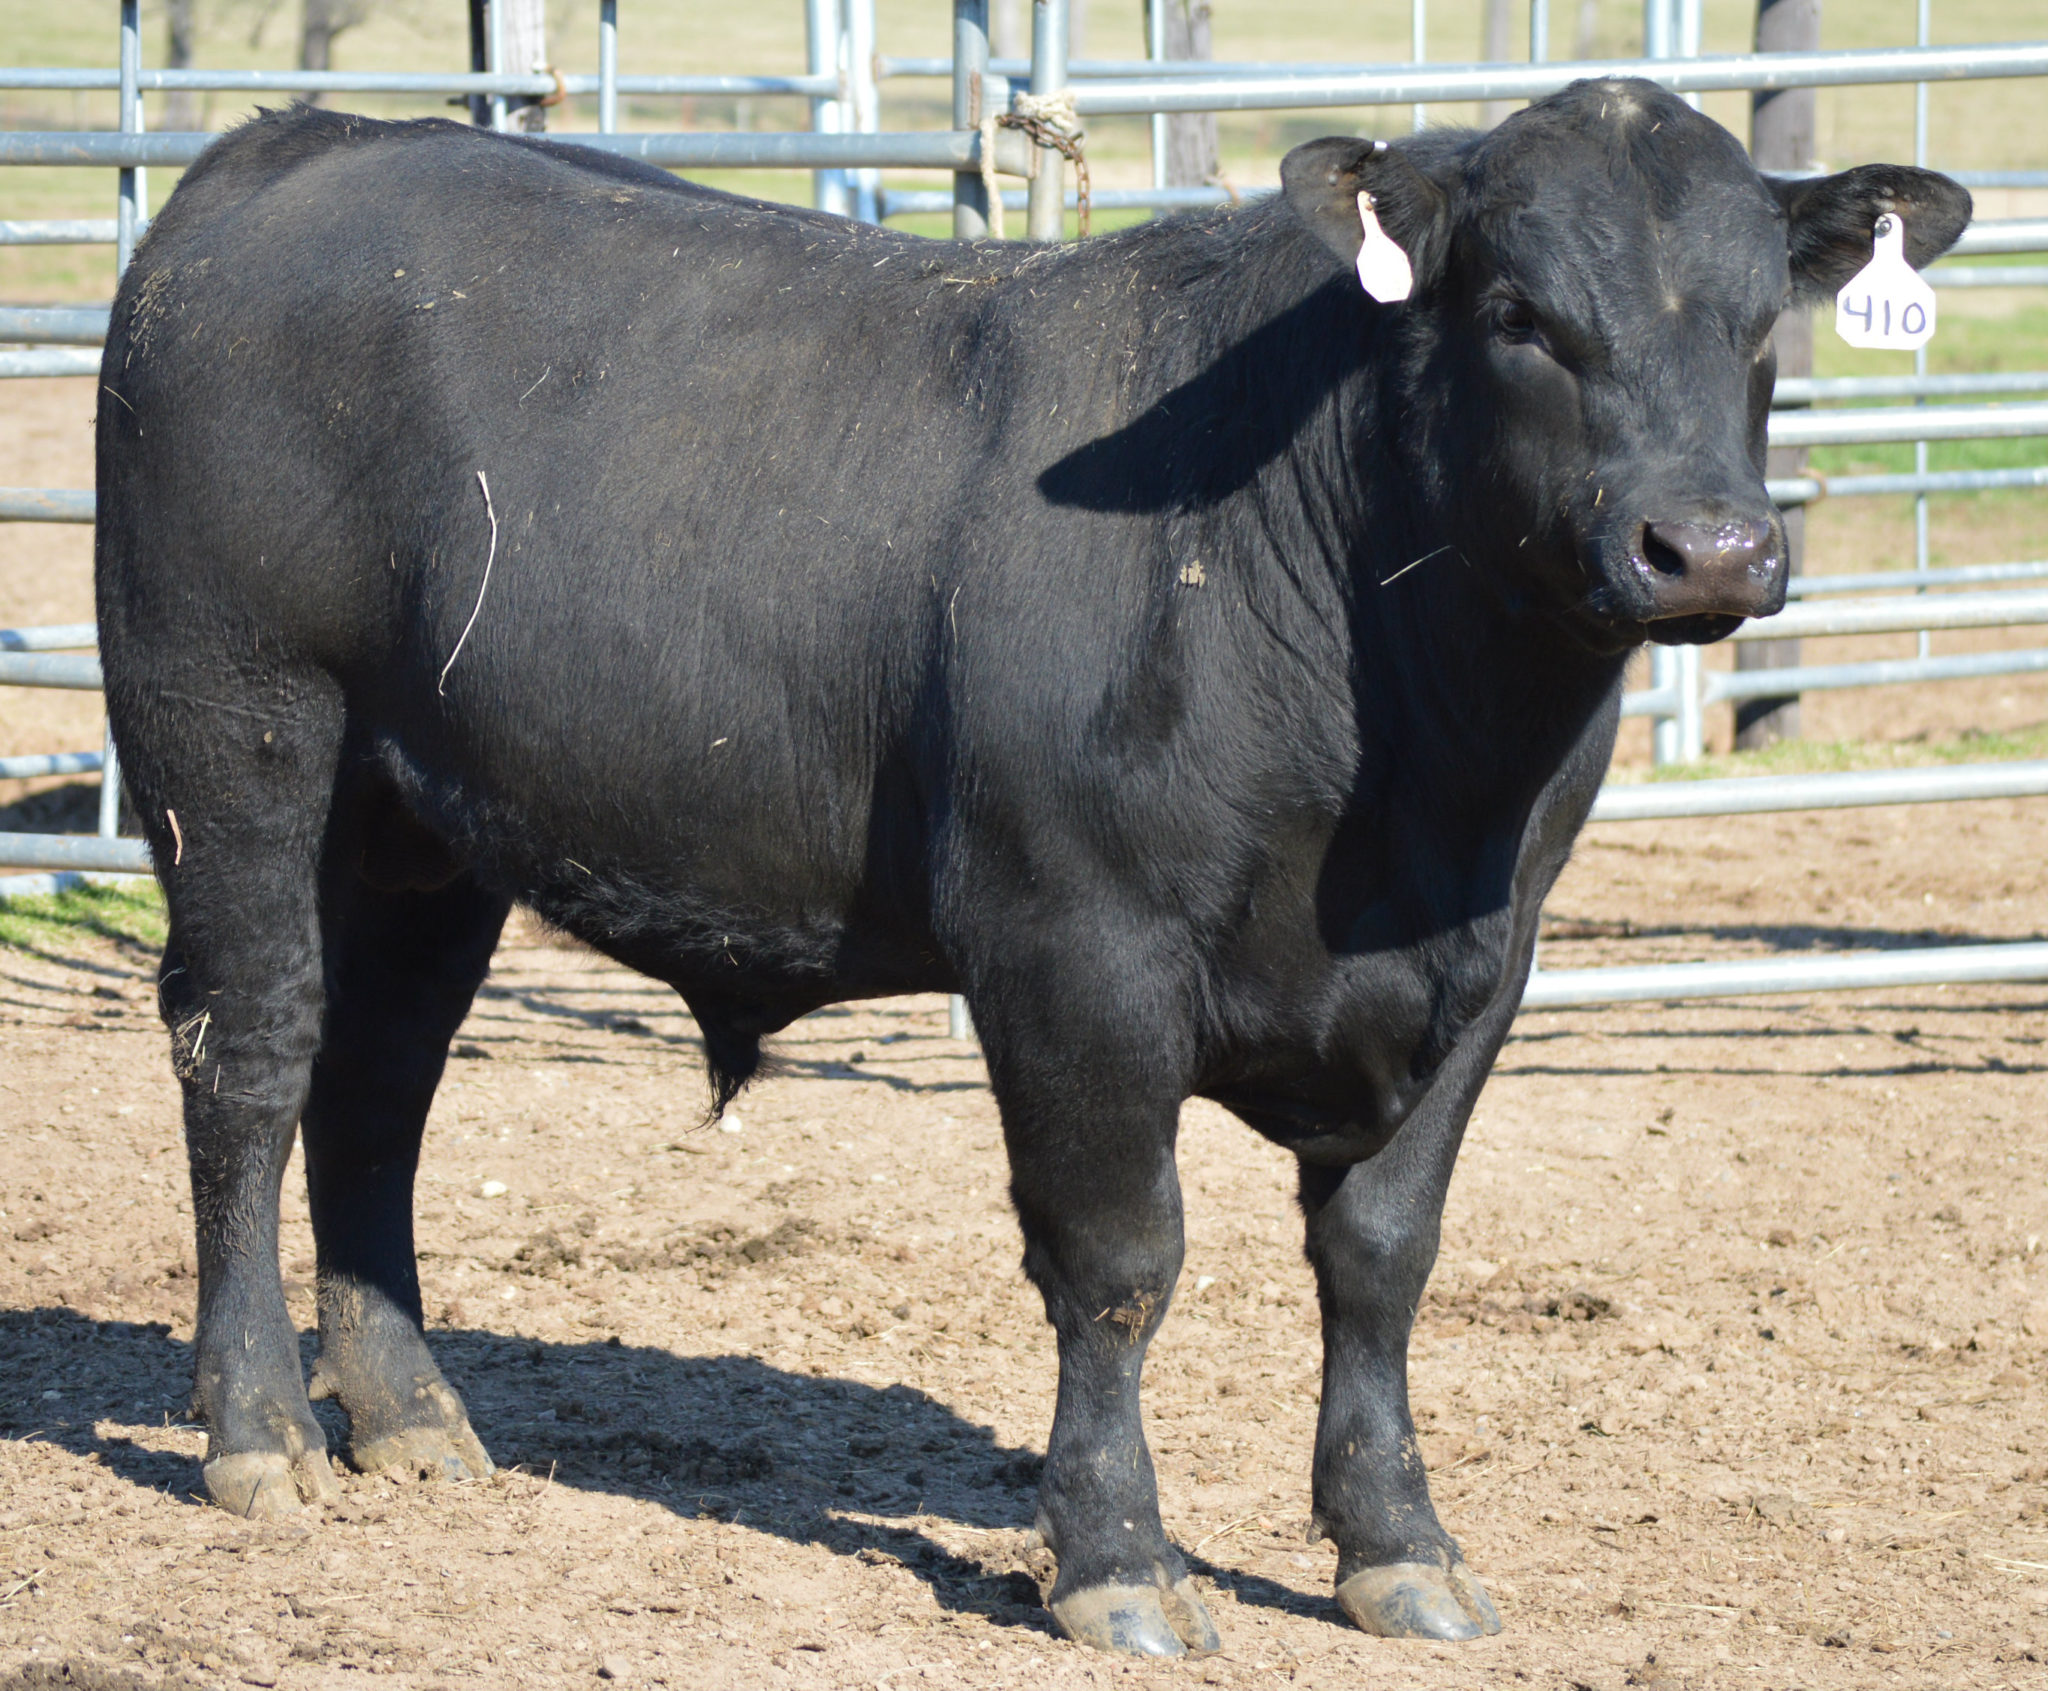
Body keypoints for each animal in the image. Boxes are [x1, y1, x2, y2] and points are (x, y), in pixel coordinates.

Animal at [95, 83, 1967, 1656]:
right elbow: (1120, 1256)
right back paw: (259, 1428)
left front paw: (1399, 1547)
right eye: (1517, 313)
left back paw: (409, 1415)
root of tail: (303, 144)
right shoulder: (1074, 947)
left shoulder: (1483, 967)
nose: (1704, 547)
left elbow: (1380, 1252)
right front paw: (1119, 1561)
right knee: (252, 1056)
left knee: (378, 1083)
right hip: (234, 733)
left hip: (425, 820)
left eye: (1761, 319)